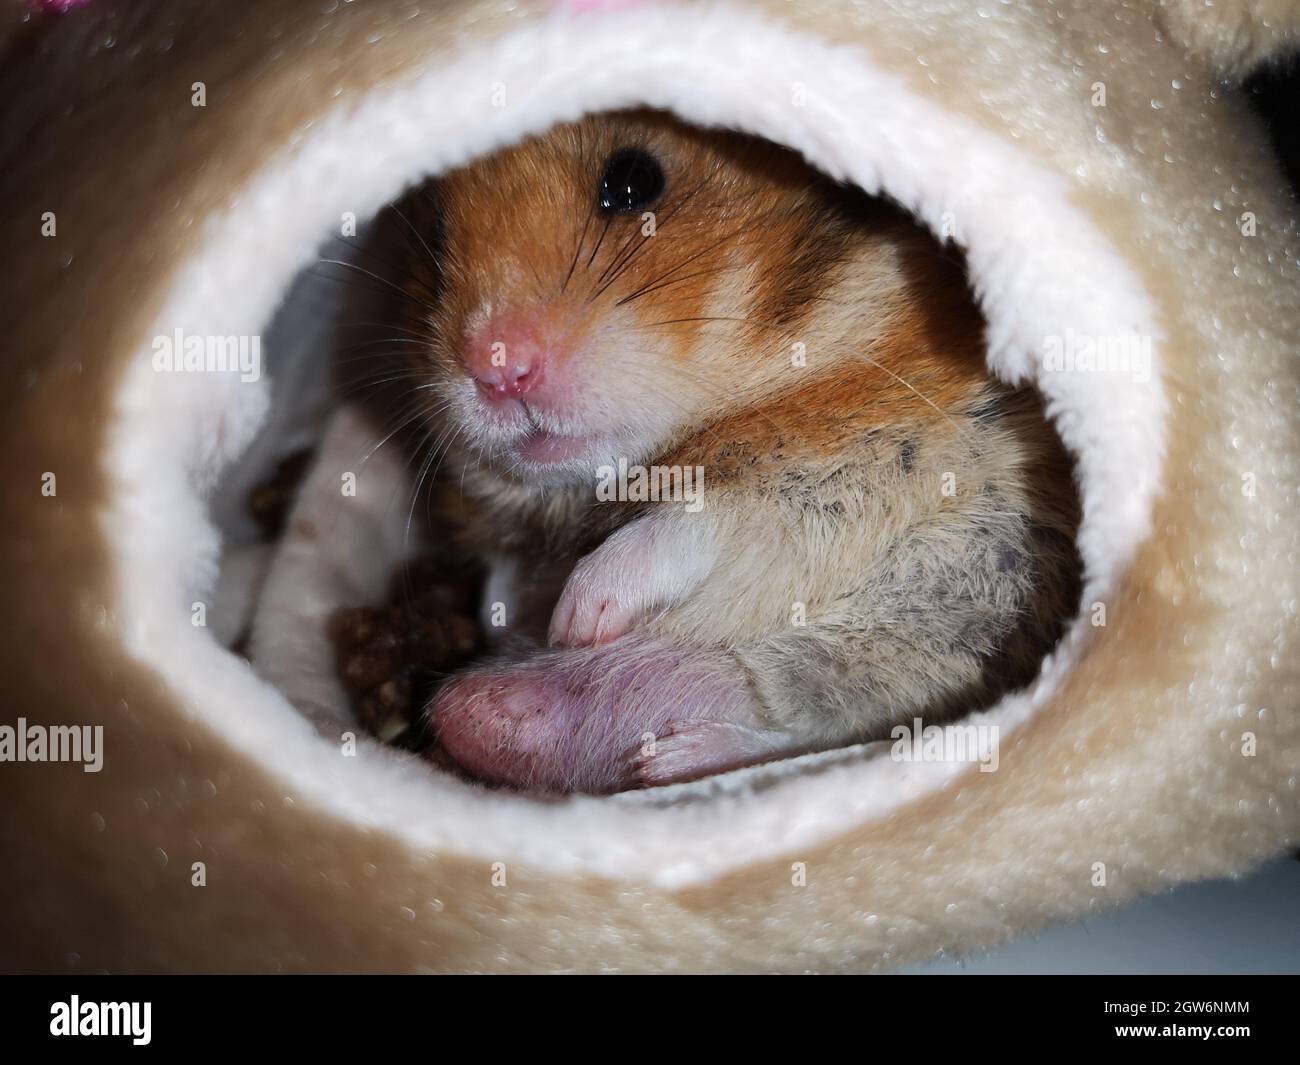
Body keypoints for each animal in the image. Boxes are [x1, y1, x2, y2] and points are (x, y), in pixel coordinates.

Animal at [341, 110, 1081, 793]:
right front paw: (513, 612)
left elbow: (689, 523)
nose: (494, 370)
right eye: (435, 233)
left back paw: (667, 754)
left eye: (633, 180)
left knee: (805, 711)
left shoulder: (876, 460)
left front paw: (575, 619)